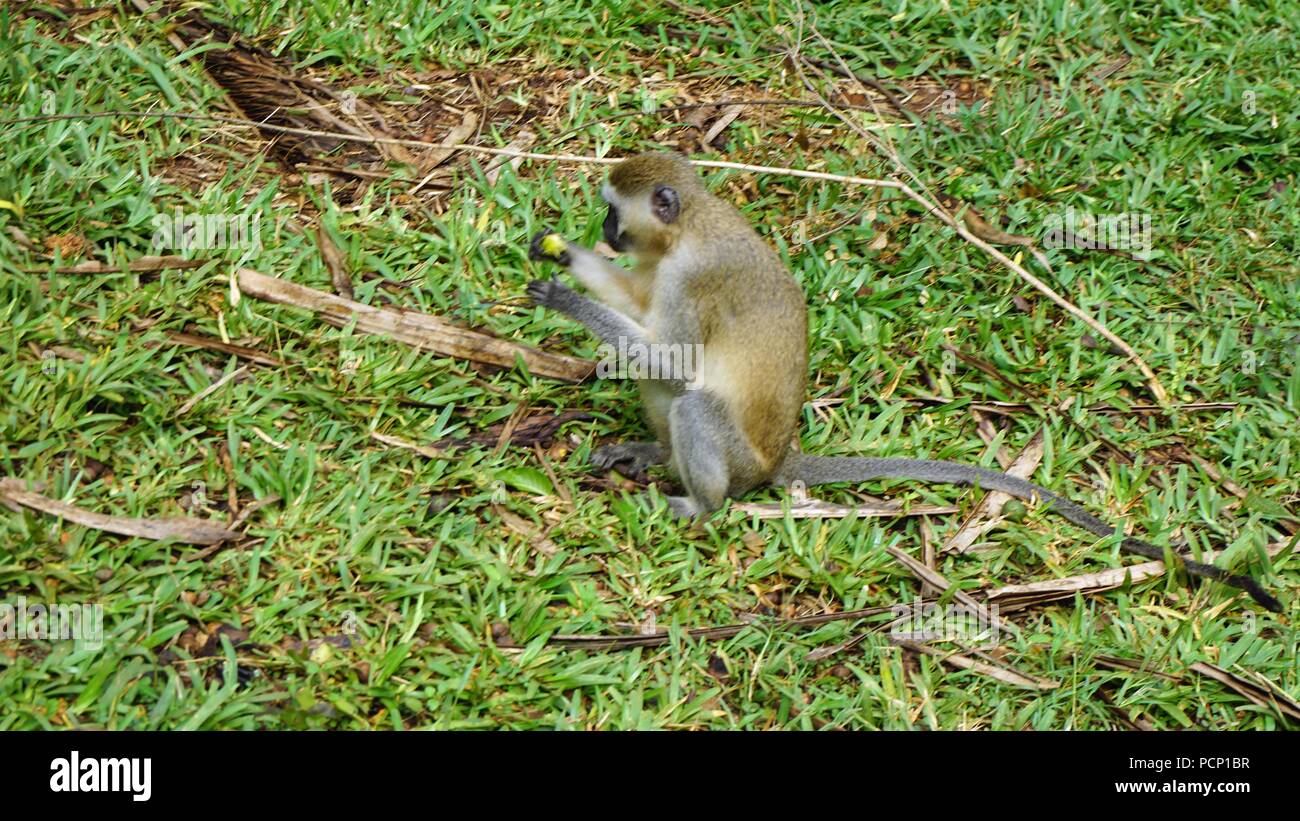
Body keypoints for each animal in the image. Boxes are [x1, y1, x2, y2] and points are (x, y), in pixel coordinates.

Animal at [526, 152, 1282, 612]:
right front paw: (561, 255)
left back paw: (701, 505)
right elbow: (639, 311)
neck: (688, 228)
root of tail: (779, 458)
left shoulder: (692, 278)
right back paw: (655, 455)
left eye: (615, 210)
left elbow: (676, 357)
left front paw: (562, 296)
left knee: (695, 404)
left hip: (740, 460)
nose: (604, 230)